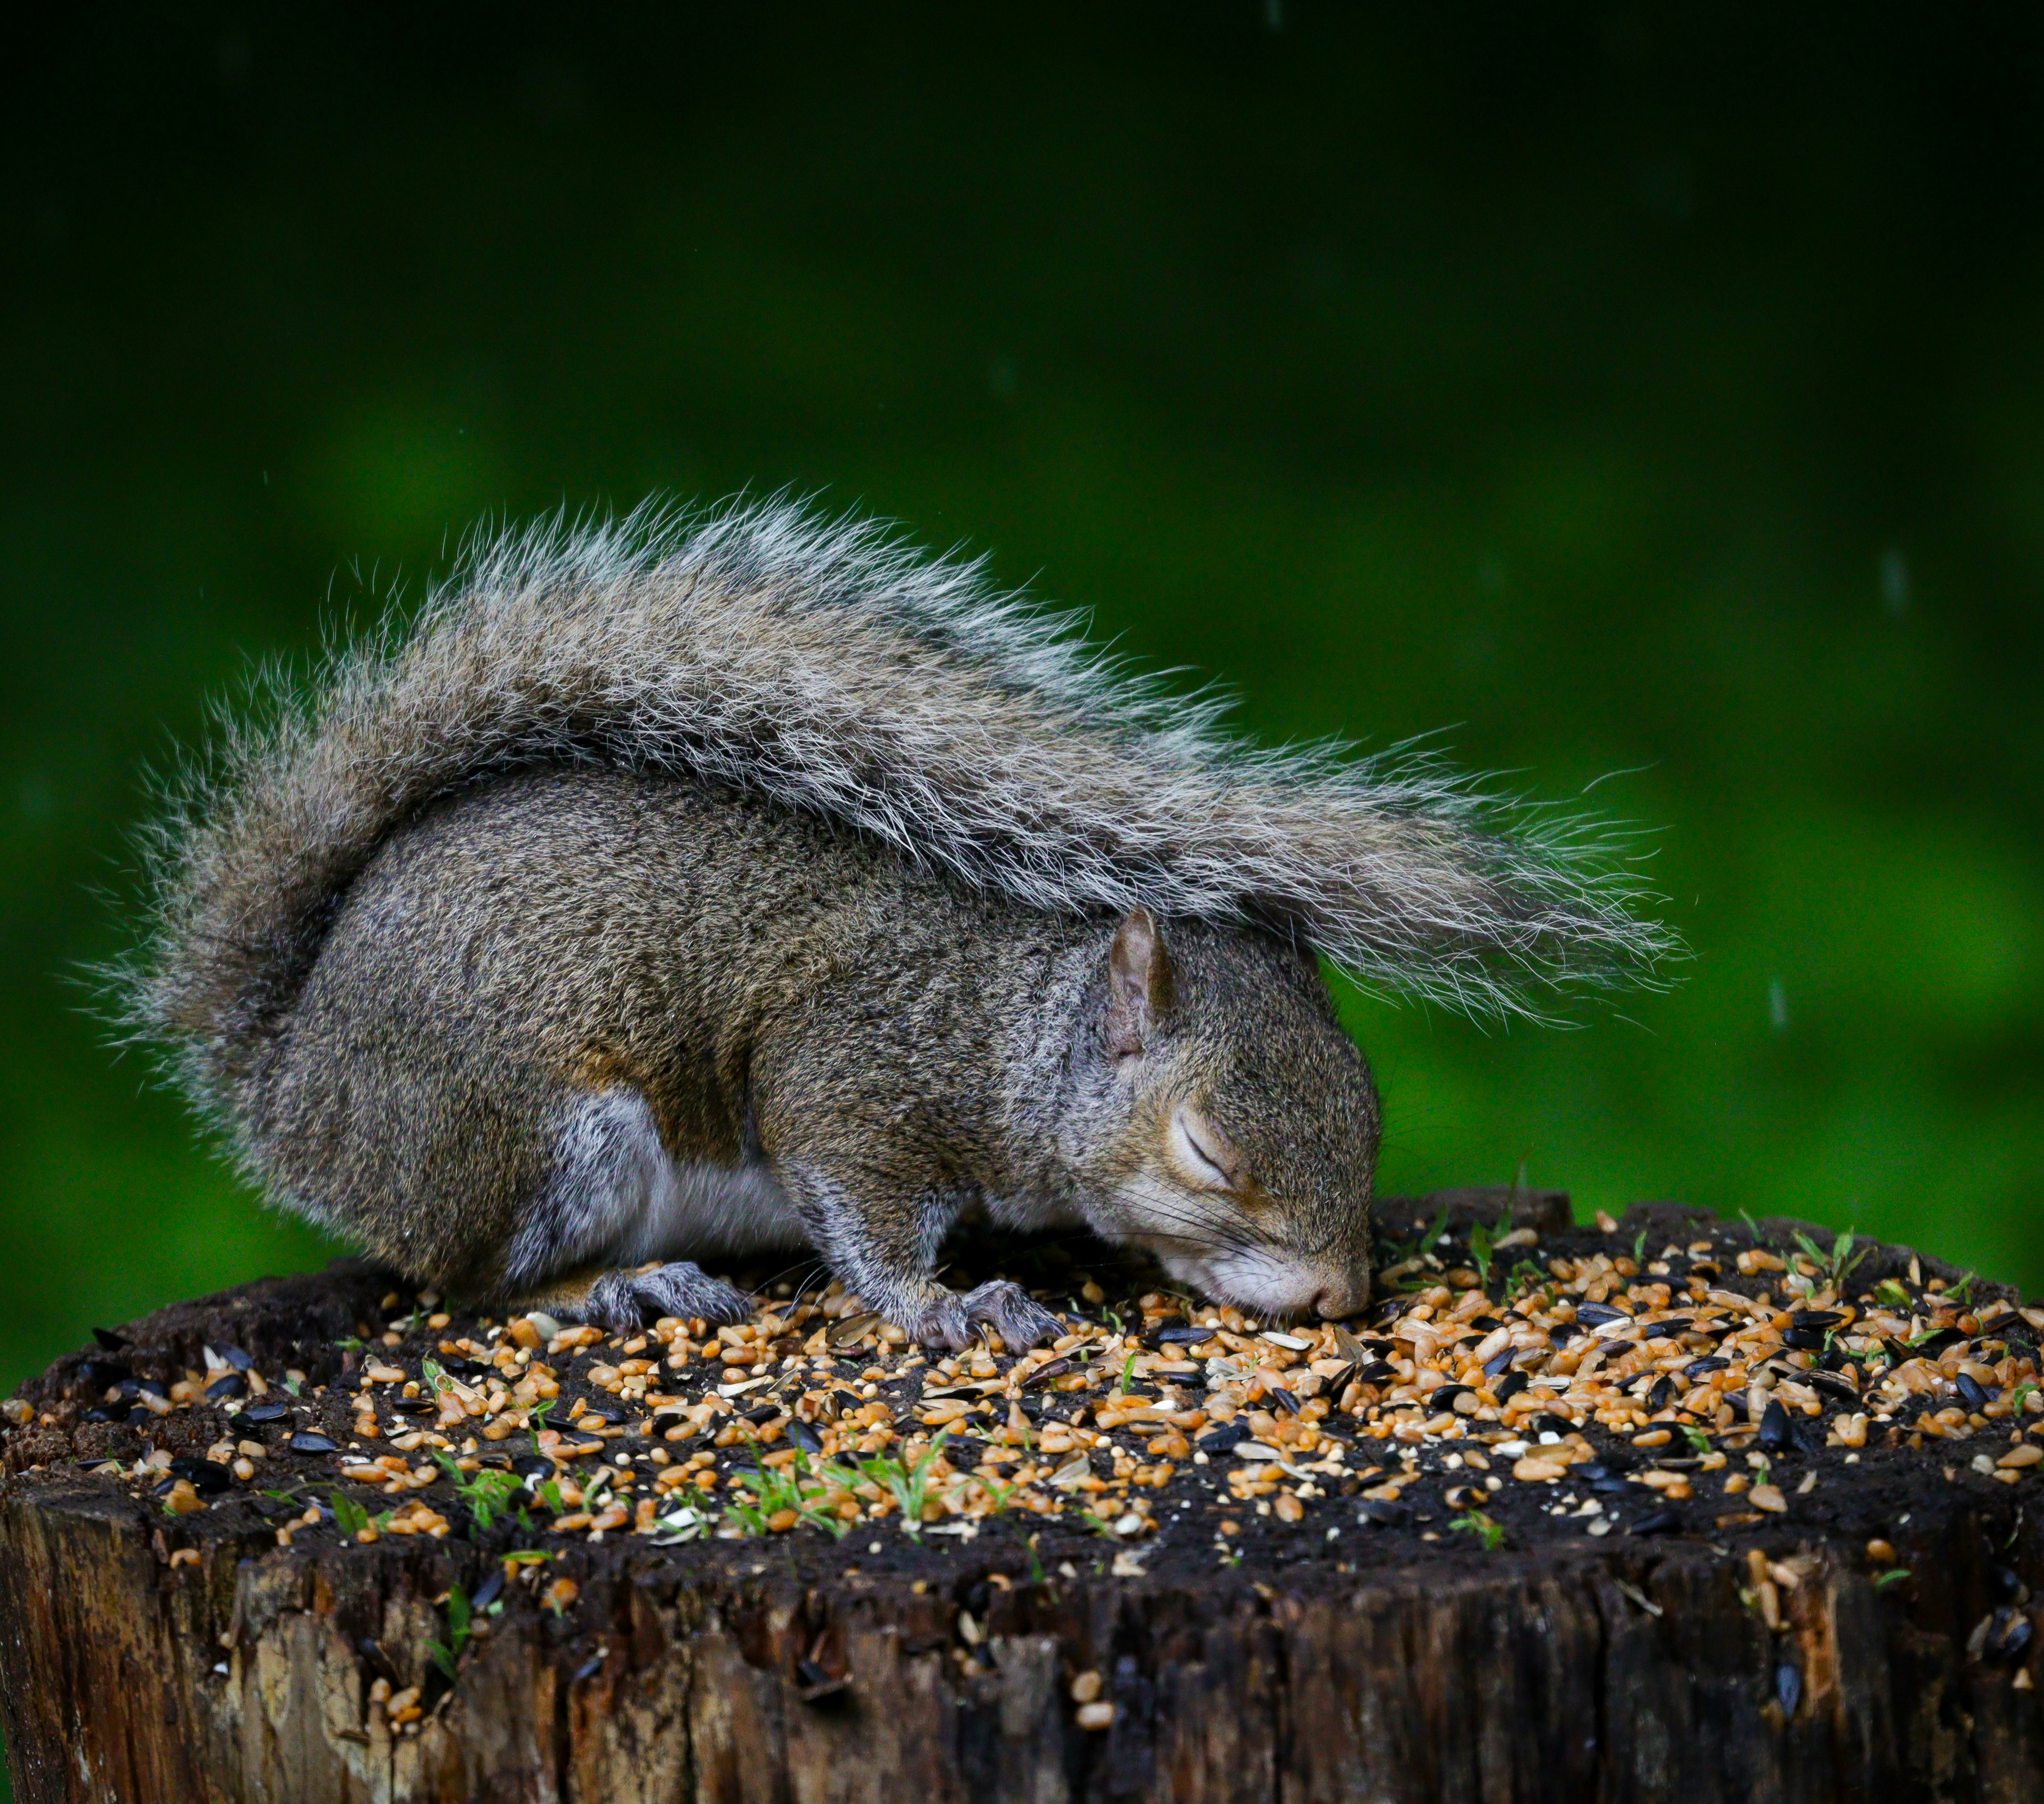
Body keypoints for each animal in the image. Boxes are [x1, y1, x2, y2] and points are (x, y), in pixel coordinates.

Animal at [120, 501, 1673, 1351]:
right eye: (1210, 1153)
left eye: (1369, 1108)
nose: (1342, 1297)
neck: (1016, 1026)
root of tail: (292, 1078)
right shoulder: (855, 1072)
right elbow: (858, 1213)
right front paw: (948, 1307)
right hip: (538, 1135)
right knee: (468, 1286)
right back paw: (618, 1290)